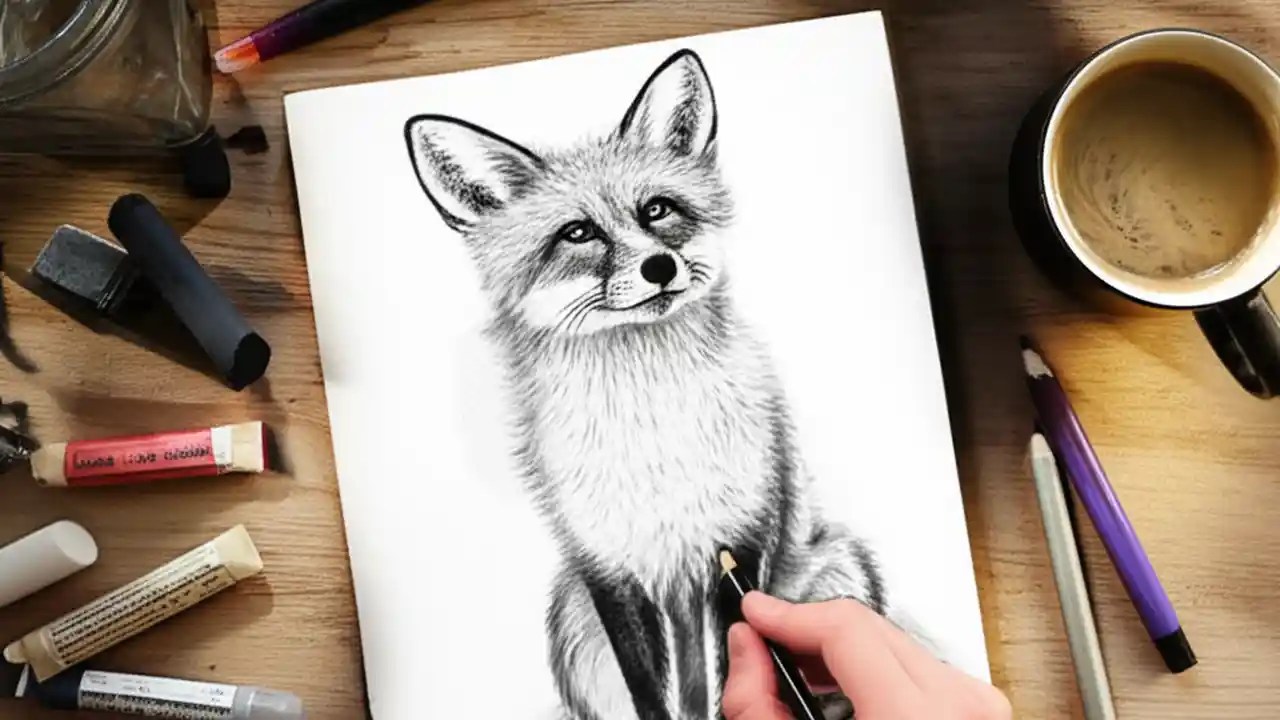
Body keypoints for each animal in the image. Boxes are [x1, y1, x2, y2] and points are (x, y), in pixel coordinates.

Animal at [405, 49, 907, 720]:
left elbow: (726, 668)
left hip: (839, 568)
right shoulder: (611, 569)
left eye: (657, 210)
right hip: (571, 615)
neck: (652, 430)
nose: (659, 266)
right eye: (578, 233)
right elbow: (650, 690)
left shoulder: (735, 541)